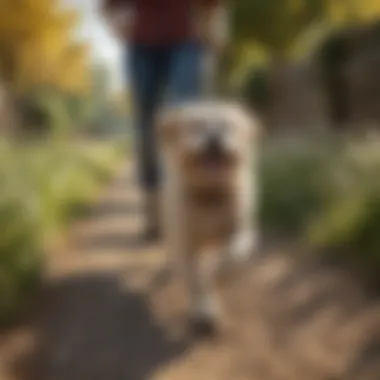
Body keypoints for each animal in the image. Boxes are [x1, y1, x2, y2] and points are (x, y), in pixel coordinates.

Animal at [156, 100, 260, 336]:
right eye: (195, 126)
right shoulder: (186, 244)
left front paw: (219, 275)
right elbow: (196, 280)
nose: (214, 137)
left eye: (229, 126)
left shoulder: (240, 231)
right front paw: (204, 310)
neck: (210, 195)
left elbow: (233, 257)